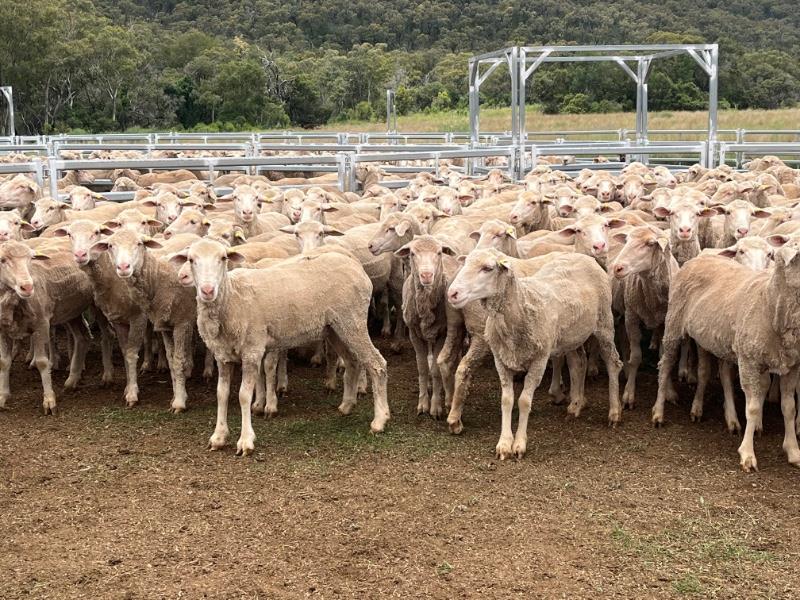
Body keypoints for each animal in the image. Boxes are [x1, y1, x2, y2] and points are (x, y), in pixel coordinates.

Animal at [0, 241, 94, 414]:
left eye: (31, 258)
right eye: (2, 260)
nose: (27, 287)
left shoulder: (41, 325)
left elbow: (42, 362)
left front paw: (49, 400)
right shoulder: (2, 330)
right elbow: (4, 362)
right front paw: (3, 397)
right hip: (71, 310)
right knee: (83, 337)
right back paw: (72, 380)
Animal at [171, 240, 390, 455]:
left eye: (223, 258)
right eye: (191, 260)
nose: (207, 291)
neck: (232, 298)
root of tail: (356, 267)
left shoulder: (252, 351)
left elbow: (243, 395)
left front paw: (246, 440)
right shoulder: (222, 355)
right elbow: (221, 394)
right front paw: (219, 437)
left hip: (352, 320)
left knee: (377, 364)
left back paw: (379, 420)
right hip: (334, 327)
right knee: (353, 361)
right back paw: (347, 405)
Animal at [446, 249, 622, 459]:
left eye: (487, 268)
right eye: (465, 264)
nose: (452, 293)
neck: (521, 307)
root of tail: (584, 256)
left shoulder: (539, 360)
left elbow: (523, 401)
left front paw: (519, 444)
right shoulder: (501, 359)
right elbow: (506, 400)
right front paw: (504, 444)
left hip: (604, 322)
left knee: (613, 363)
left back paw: (614, 412)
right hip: (572, 334)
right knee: (578, 363)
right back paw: (575, 405)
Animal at [653, 243, 800, 472]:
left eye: (770, 254)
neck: (769, 301)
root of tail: (699, 257)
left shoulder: (791, 365)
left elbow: (789, 408)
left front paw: (793, 451)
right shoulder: (749, 360)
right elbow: (753, 408)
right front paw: (747, 454)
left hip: (711, 339)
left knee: (712, 373)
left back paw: (710, 412)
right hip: (673, 325)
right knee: (665, 365)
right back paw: (659, 412)